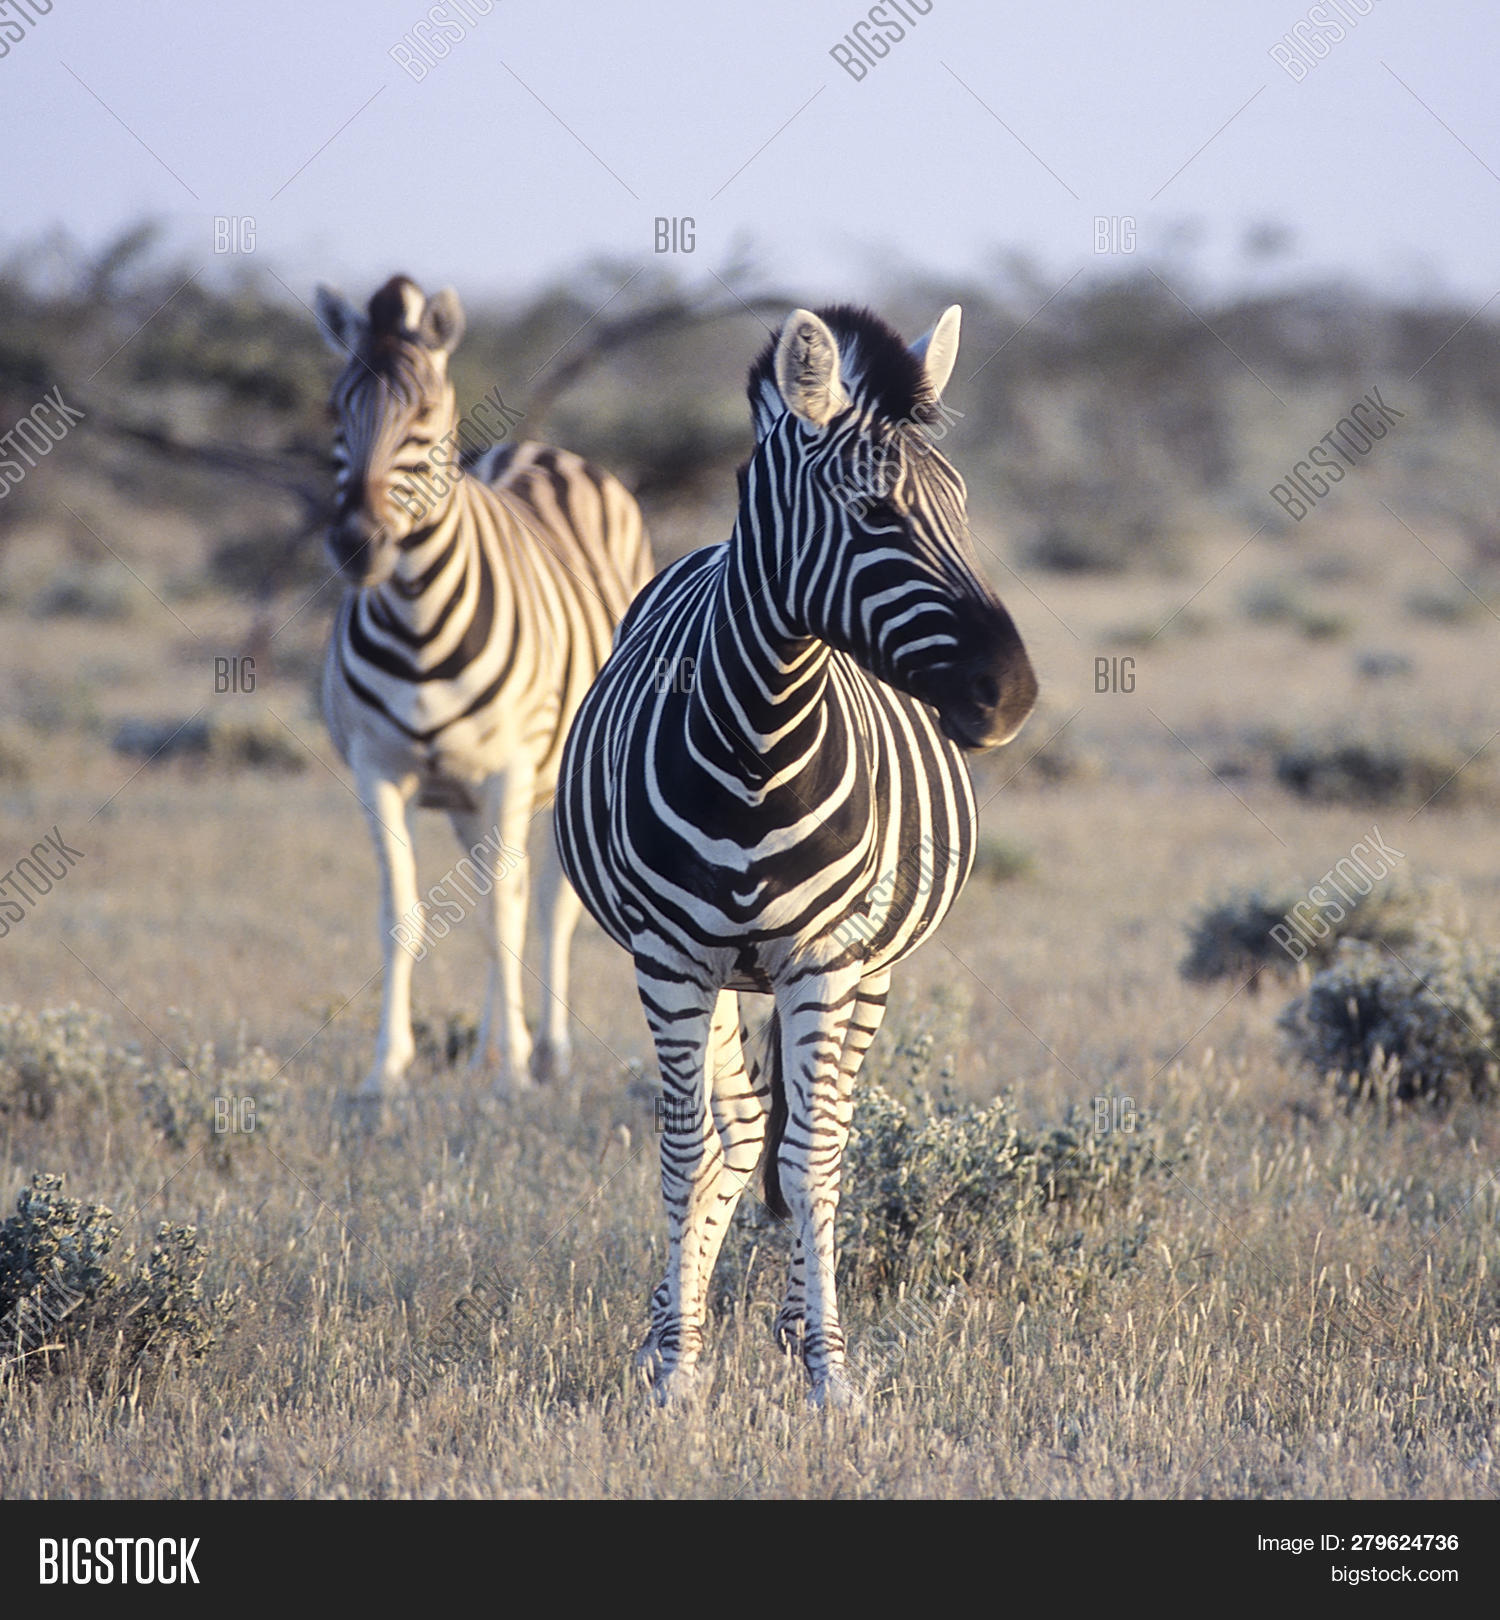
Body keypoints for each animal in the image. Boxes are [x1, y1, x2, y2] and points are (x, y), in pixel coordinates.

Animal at [313, 275, 652, 1100]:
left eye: (426, 415)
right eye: (336, 410)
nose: (358, 543)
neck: (417, 620)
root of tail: (539, 448)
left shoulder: (508, 768)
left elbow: (503, 918)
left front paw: (514, 1077)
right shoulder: (379, 772)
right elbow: (400, 915)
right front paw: (387, 1071)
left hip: (561, 774)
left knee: (548, 906)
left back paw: (546, 1052)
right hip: (472, 799)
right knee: (516, 887)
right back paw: (497, 1048)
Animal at [554, 302, 1037, 1405]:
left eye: (963, 507)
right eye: (876, 515)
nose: (1012, 695)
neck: (761, 740)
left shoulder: (823, 958)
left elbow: (812, 1158)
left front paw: (828, 1375)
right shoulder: (672, 960)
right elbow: (687, 1148)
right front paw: (675, 1373)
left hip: (868, 968)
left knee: (821, 1133)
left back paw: (784, 1325)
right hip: (725, 973)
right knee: (736, 1130)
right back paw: (667, 1327)